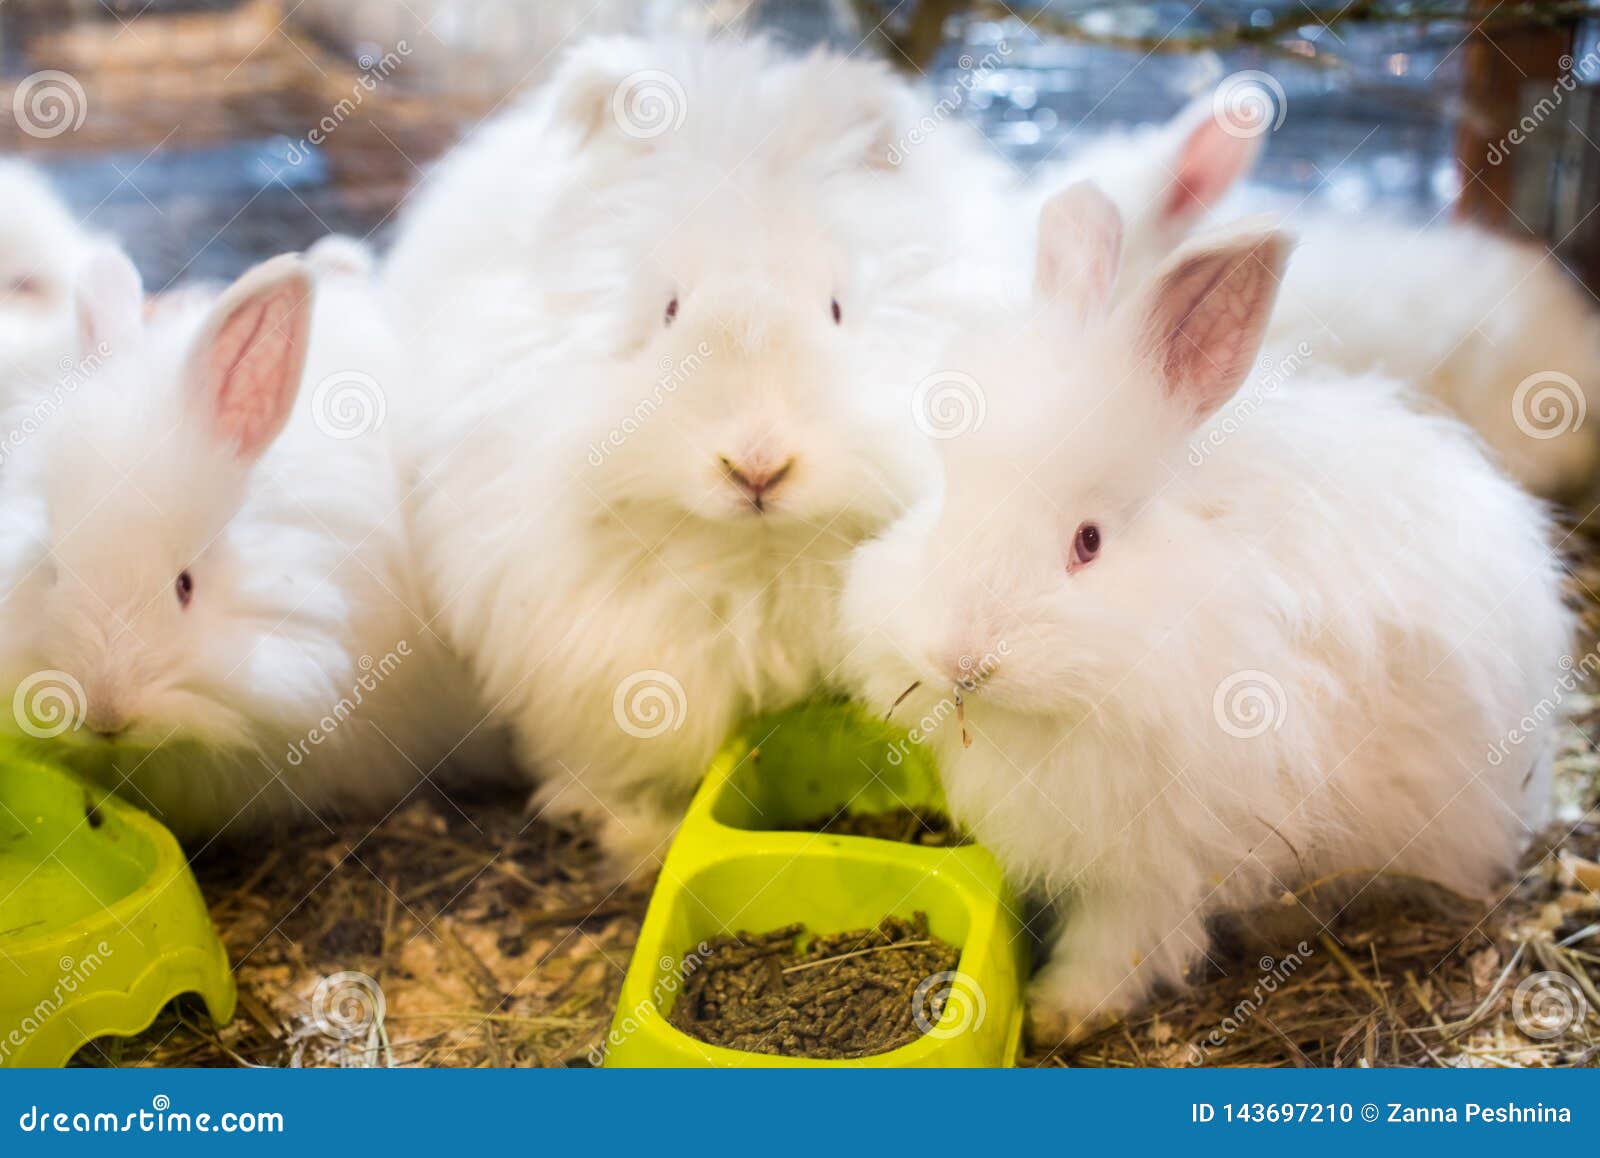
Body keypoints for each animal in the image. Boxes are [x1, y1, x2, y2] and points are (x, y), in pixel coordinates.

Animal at [840, 182, 1574, 1044]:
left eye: (1088, 541)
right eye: (947, 499)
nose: (959, 656)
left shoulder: (1160, 858)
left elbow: (1120, 941)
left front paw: (1059, 1013)